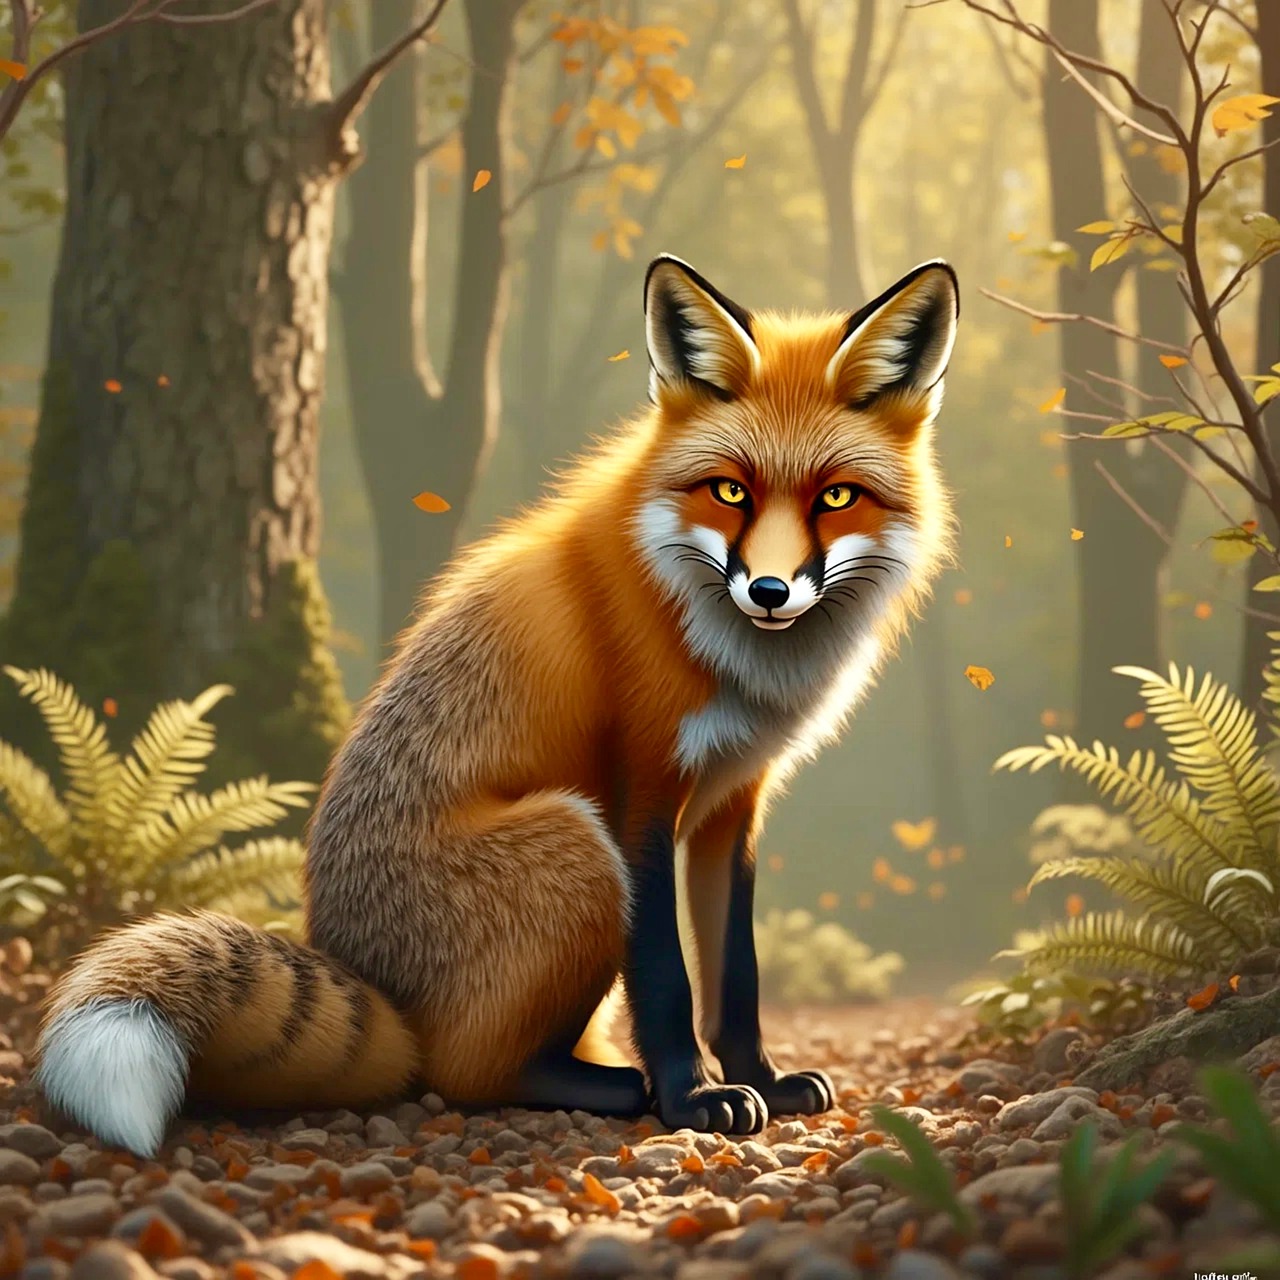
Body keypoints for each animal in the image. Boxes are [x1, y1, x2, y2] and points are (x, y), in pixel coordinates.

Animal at [34, 254, 958, 1157]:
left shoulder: (734, 804)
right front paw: (693, 1100)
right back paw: (616, 1089)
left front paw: (762, 1081)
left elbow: (736, 974)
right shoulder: (640, 798)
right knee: (458, 1071)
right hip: (578, 847)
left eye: (835, 498)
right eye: (729, 492)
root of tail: (368, 973)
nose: (769, 592)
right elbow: (666, 976)